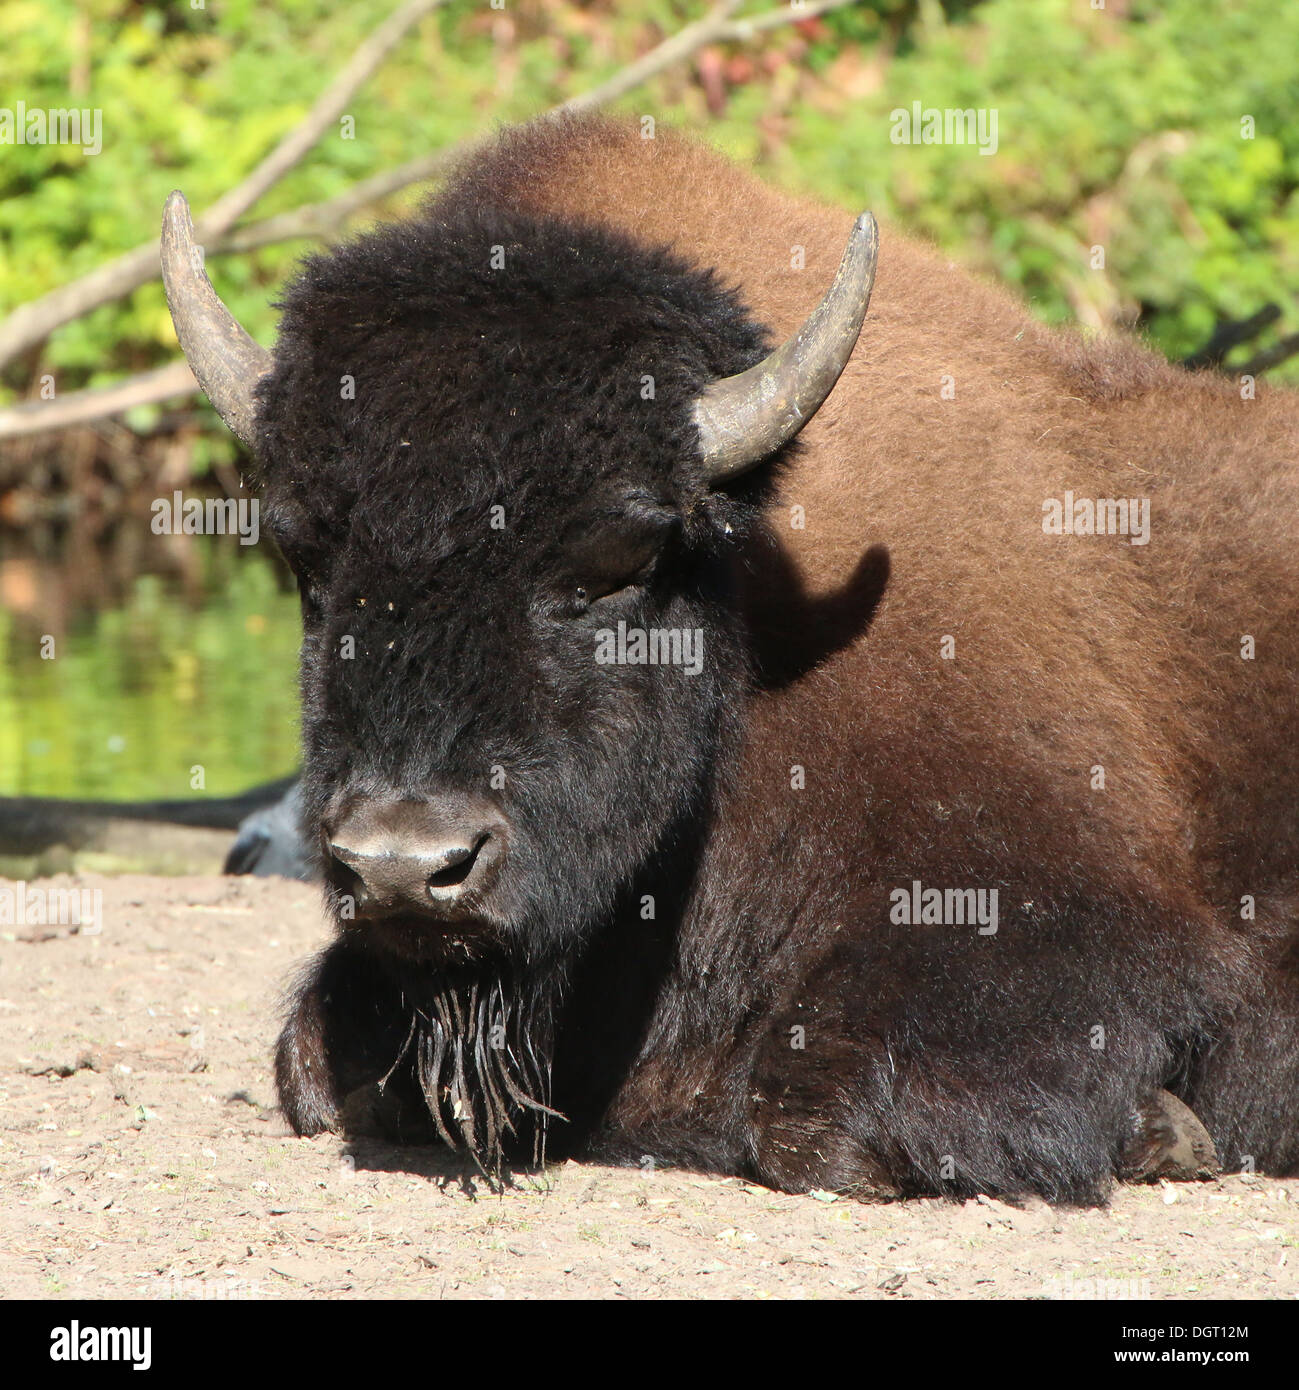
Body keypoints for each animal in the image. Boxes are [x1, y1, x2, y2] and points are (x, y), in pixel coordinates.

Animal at [161, 114, 1299, 1202]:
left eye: (625, 557)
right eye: (305, 552)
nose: (403, 864)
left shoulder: (1061, 918)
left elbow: (815, 1107)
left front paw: (1169, 1129)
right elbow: (314, 1063)